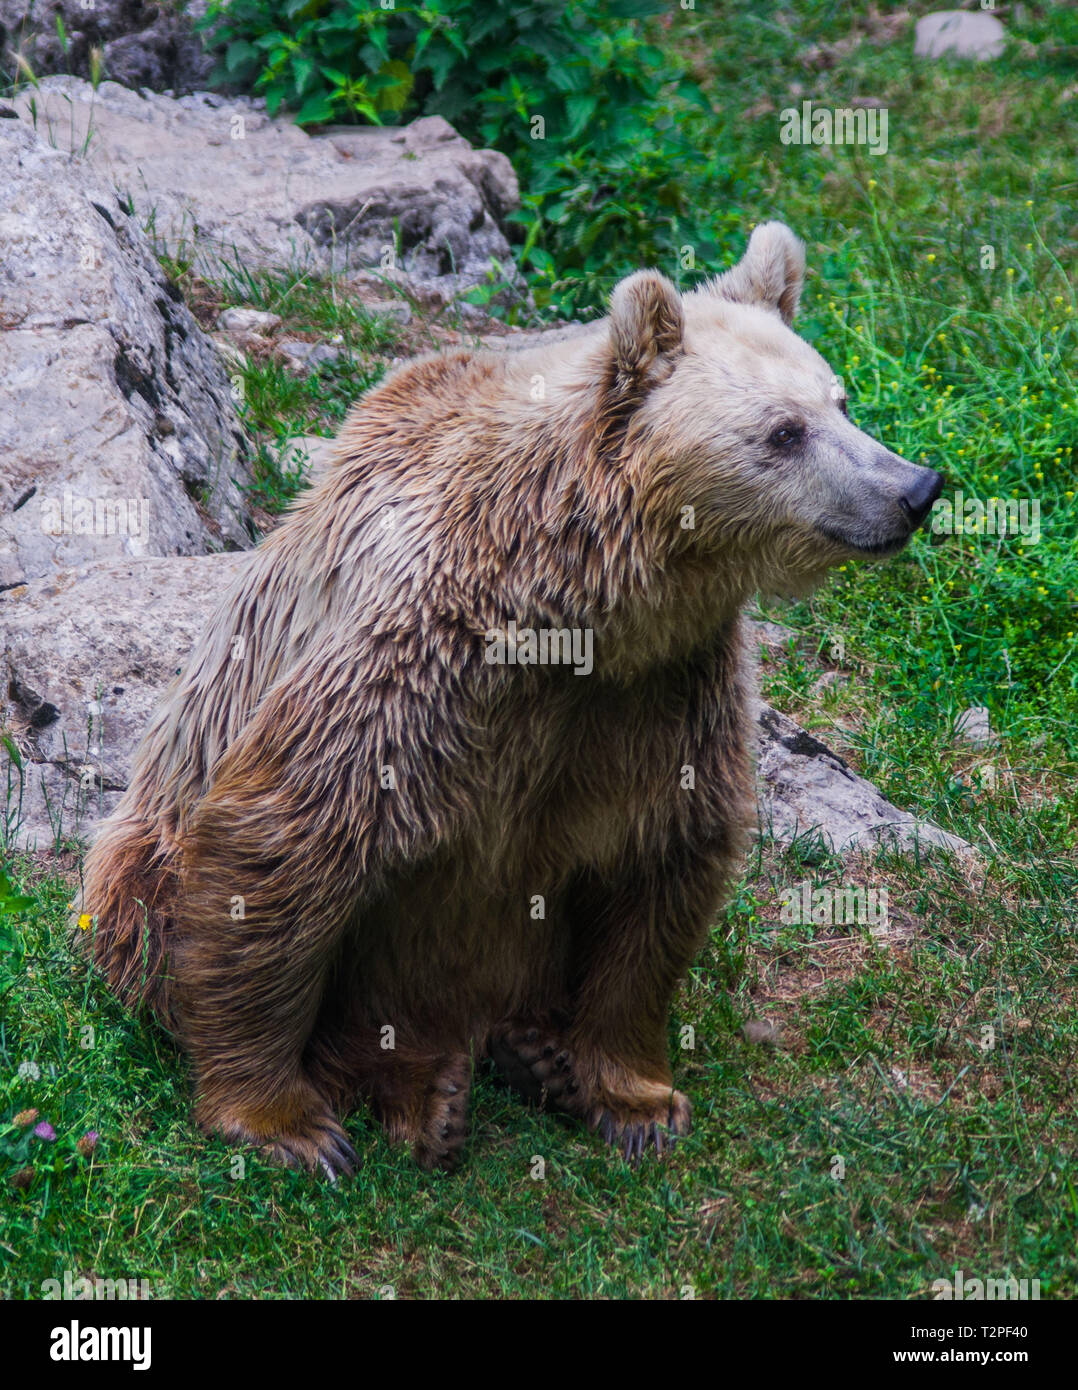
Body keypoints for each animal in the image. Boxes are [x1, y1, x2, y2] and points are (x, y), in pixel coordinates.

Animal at [80, 222, 943, 1178]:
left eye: (840, 399)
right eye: (784, 431)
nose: (914, 489)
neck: (579, 601)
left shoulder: (662, 688)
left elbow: (662, 858)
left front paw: (635, 1098)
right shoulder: (424, 658)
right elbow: (288, 836)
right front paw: (283, 1121)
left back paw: (526, 1054)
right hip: (147, 842)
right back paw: (427, 1094)